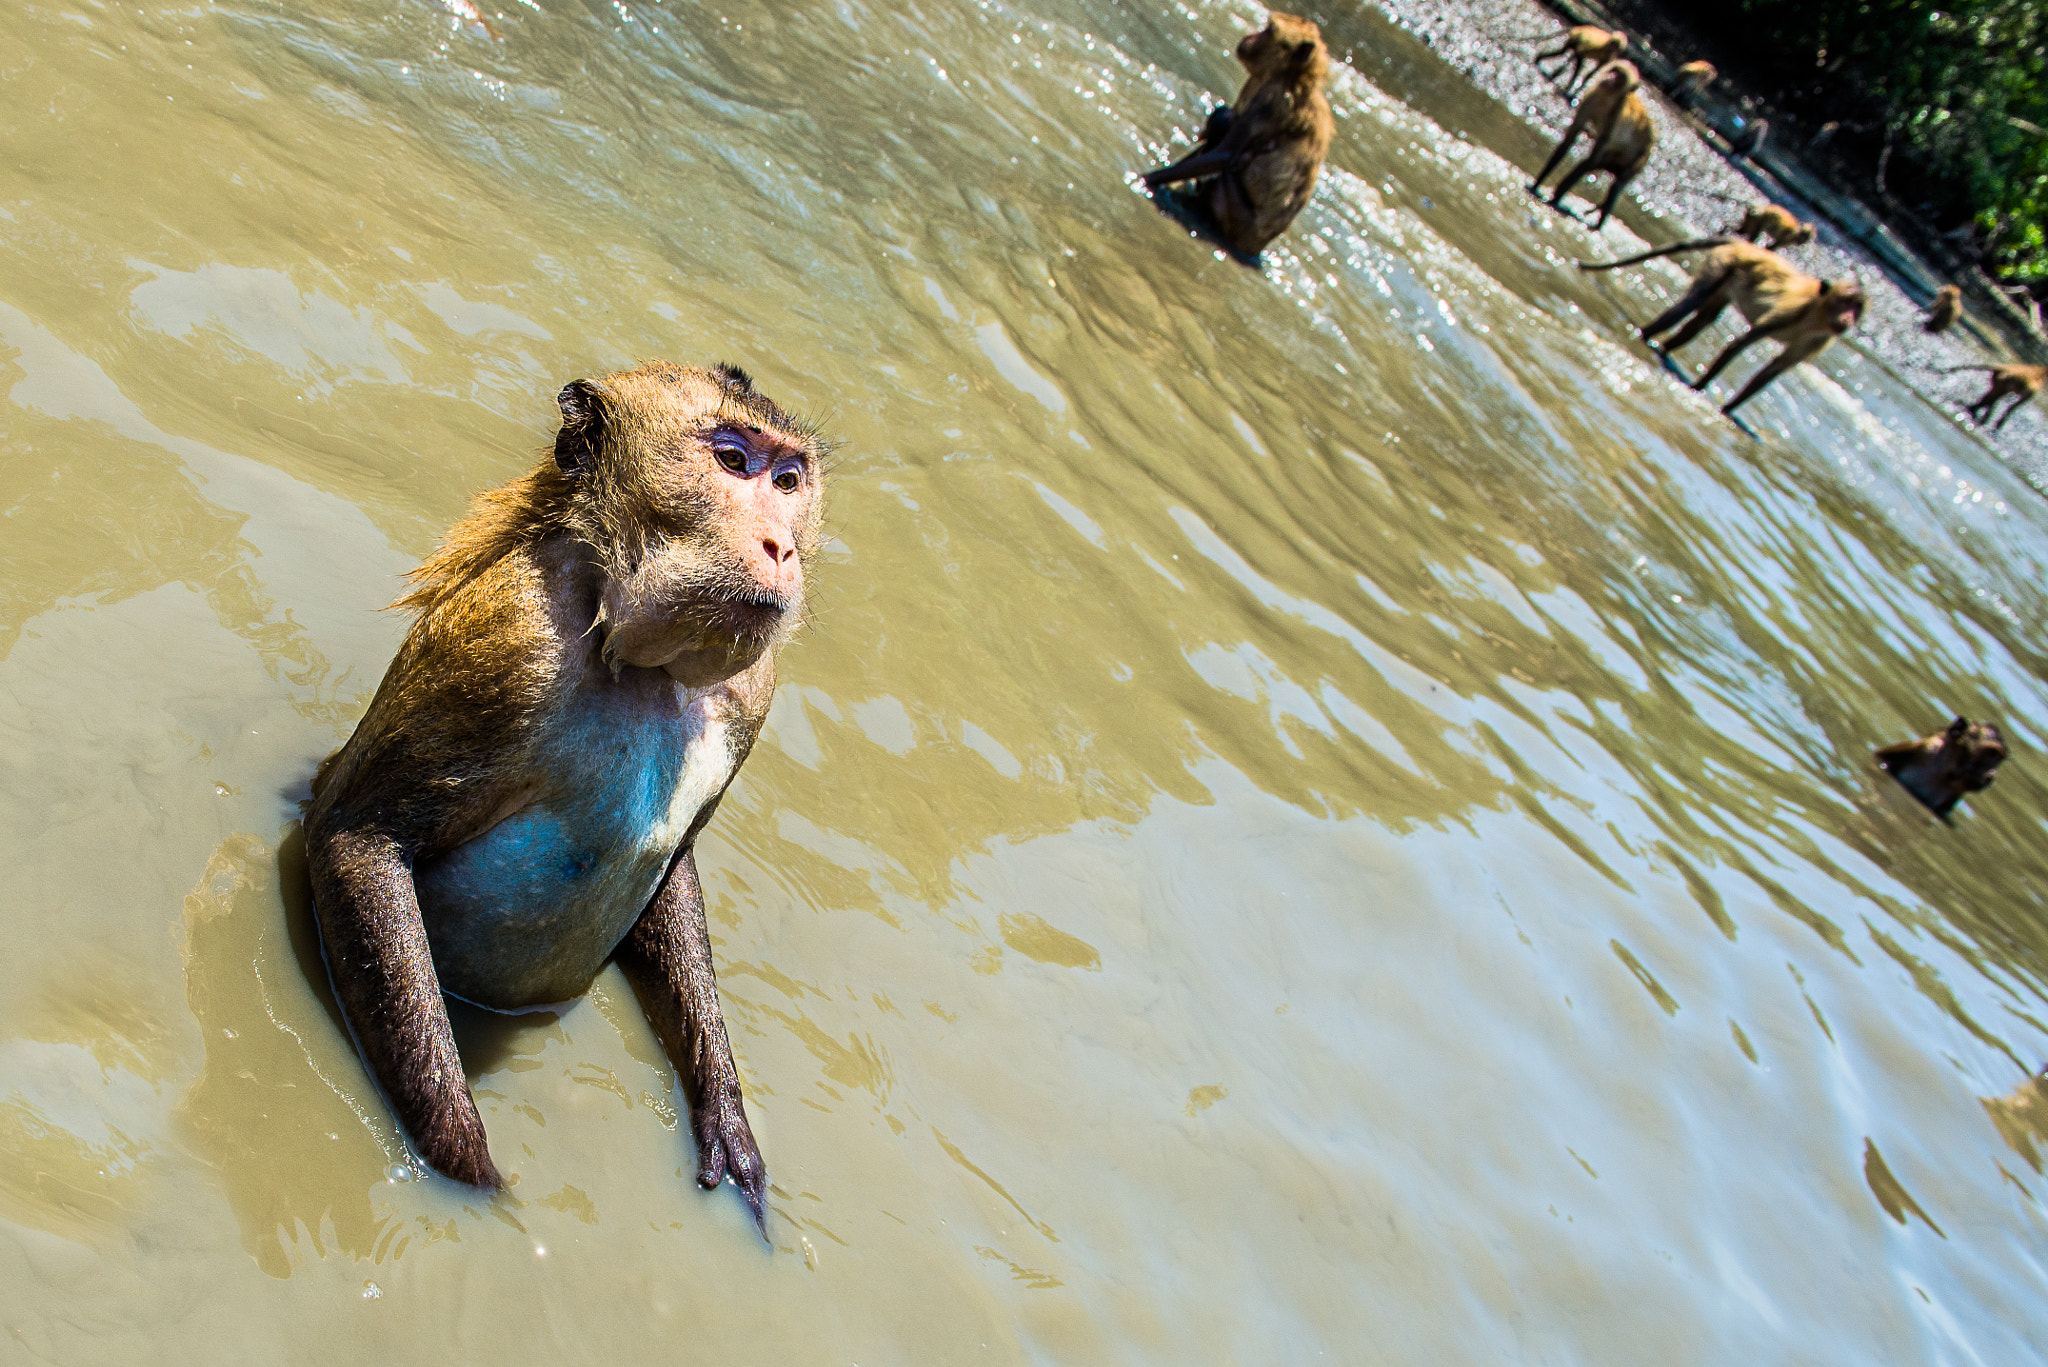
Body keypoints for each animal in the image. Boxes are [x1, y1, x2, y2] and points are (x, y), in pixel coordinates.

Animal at [303, 362, 829, 1230]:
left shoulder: (756, 687)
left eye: (789, 480)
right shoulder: (507, 645)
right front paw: (470, 1171)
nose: (782, 545)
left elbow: (677, 865)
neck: (633, 648)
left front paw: (727, 1118)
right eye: (731, 459)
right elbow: (360, 841)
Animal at [1141, 12, 1334, 262]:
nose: (1250, 37)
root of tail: (1253, 248)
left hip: (1234, 213)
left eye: (1269, 30)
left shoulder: (1271, 100)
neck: (1292, 77)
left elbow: (1226, 154)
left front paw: (1147, 179)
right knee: (1224, 120)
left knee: (1232, 149)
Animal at [1528, 61, 1657, 232]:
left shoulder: (1615, 115)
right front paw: (1536, 186)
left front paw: (1554, 198)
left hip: (1641, 154)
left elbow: (1591, 157)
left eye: (1621, 78)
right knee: (1601, 168)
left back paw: (1597, 226)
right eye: (1615, 71)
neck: (1608, 98)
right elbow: (1569, 141)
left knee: (1616, 183)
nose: (1610, 78)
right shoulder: (1592, 98)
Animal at [1578, 238, 1866, 415]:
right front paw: (1698, 390)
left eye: (1856, 307)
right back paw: (1646, 335)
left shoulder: (1818, 339)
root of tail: (1745, 246)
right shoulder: (1789, 313)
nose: (1848, 319)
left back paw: (1664, 349)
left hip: (1727, 278)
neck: (1816, 317)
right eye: (1844, 302)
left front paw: (1728, 411)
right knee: (1694, 301)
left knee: (1704, 317)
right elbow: (1740, 345)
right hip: (1722, 263)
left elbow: (1775, 369)